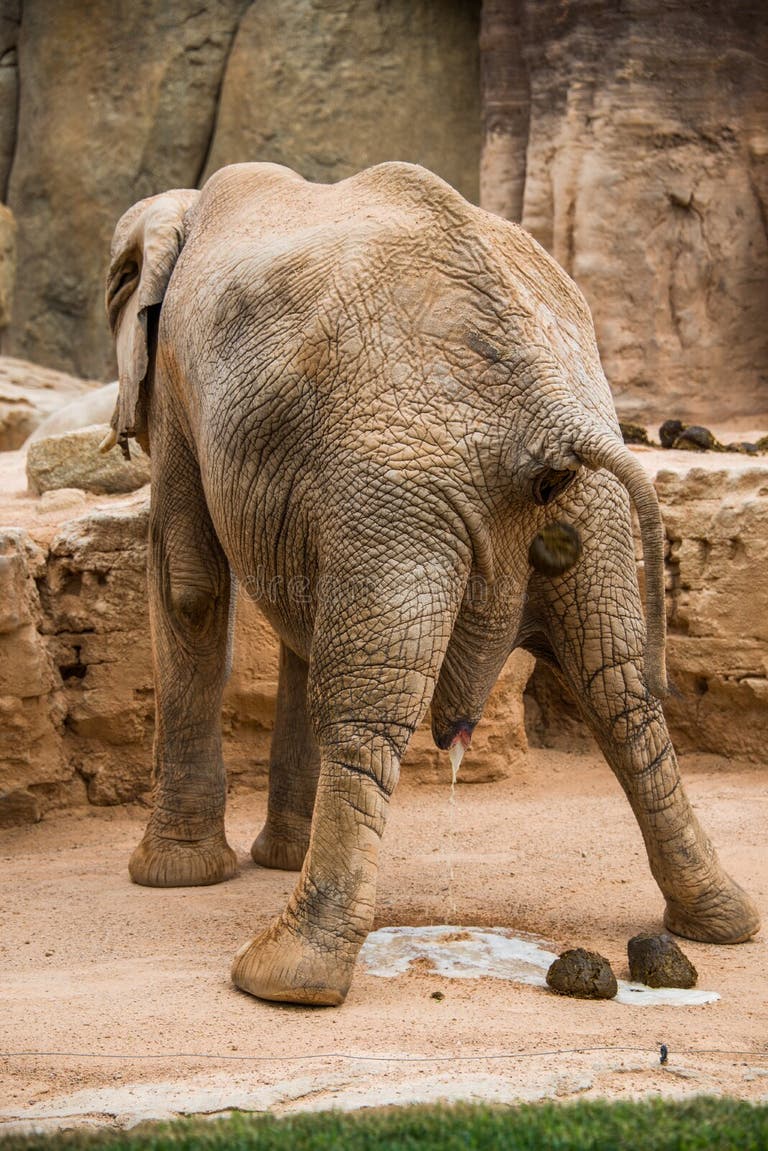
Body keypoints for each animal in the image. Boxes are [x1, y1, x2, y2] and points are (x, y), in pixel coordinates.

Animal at [102, 161, 759, 1007]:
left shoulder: (183, 387)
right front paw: (264, 858)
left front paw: (174, 878)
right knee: (620, 689)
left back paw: (282, 979)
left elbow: (189, 583)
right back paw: (722, 921)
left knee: (367, 702)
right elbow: (286, 614)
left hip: (398, 494)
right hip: (575, 503)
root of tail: (545, 408)